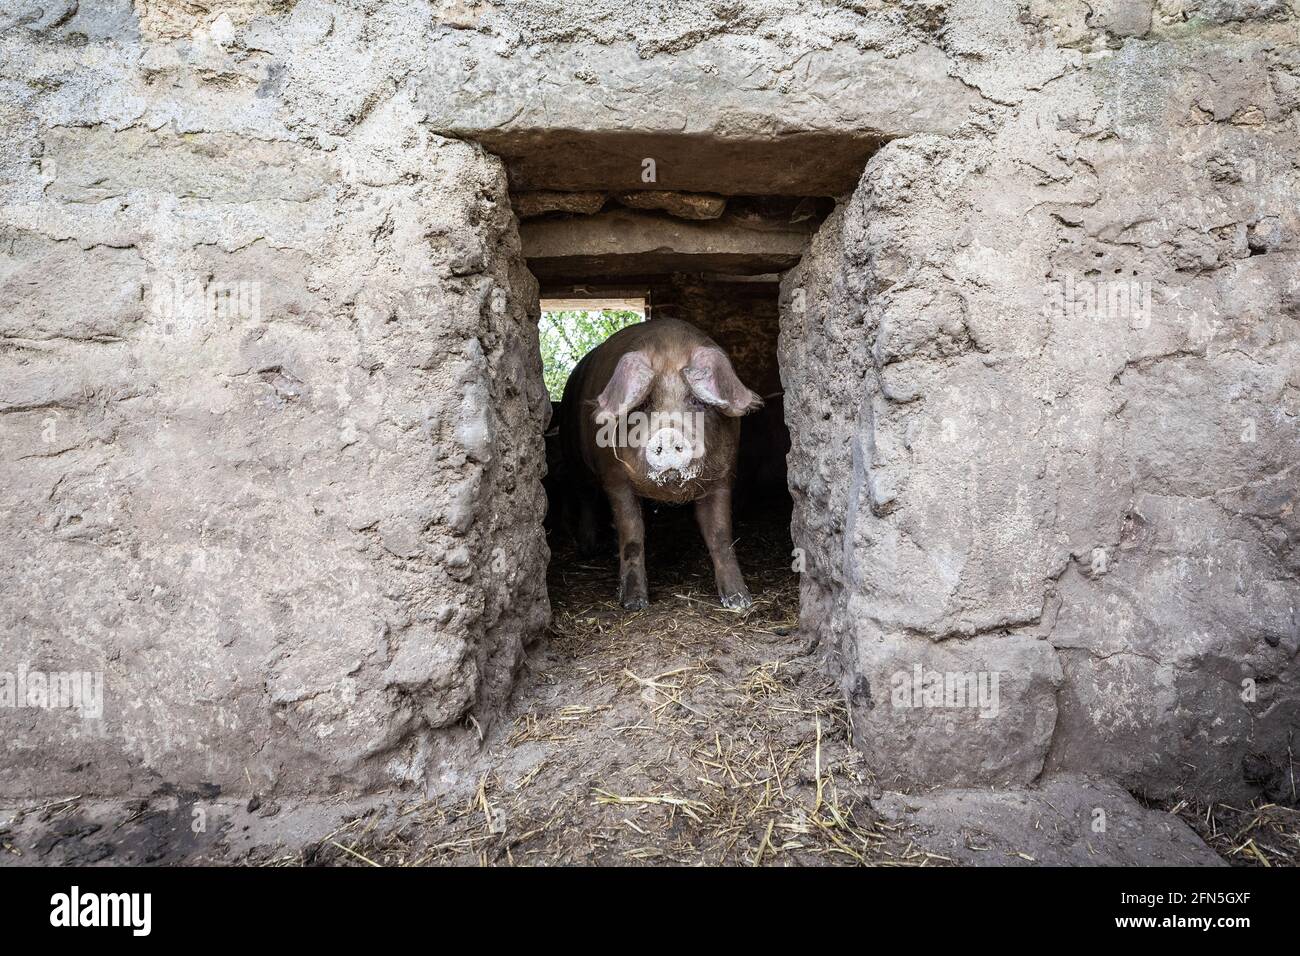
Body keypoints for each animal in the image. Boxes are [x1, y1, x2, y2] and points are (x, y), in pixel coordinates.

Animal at [558, 318, 763, 610]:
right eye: (644, 404)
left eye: (697, 401)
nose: (668, 433)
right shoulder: (614, 478)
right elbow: (632, 532)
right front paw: (634, 604)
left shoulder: (724, 474)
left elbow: (719, 532)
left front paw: (739, 601)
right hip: (574, 457)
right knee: (585, 495)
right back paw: (588, 549)